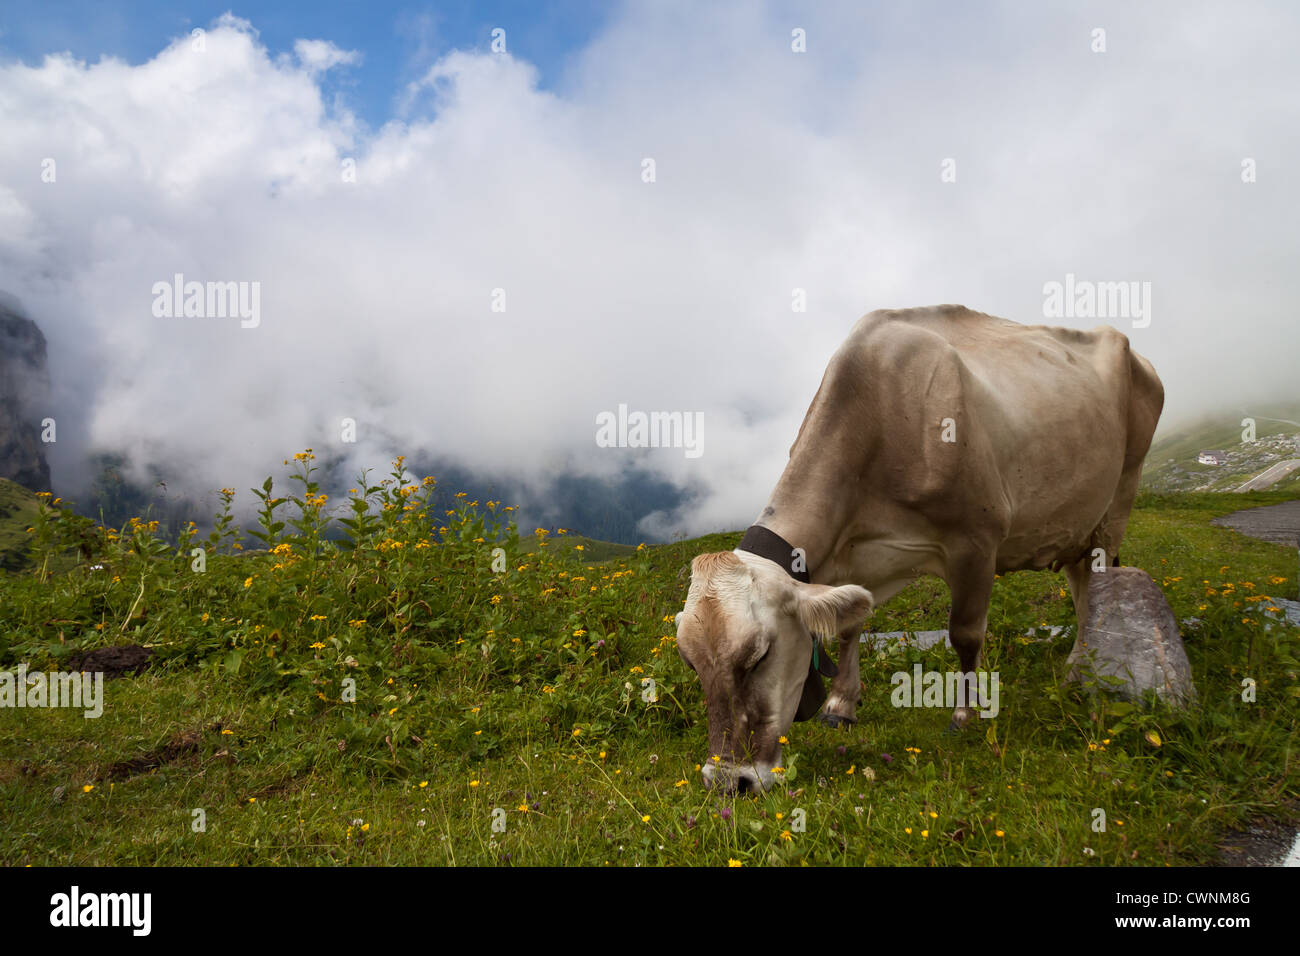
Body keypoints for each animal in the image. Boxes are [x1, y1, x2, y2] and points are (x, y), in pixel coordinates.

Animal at [676, 305, 1164, 793]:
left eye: (760, 656)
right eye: (691, 663)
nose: (727, 782)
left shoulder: (976, 540)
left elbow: (965, 634)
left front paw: (964, 716)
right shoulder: (860, 553)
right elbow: (851, 625)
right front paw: (840, 706)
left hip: (1120, 496)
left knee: (1098, 587)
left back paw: (1082, 671)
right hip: (1076, 525)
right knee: (1081, 585)